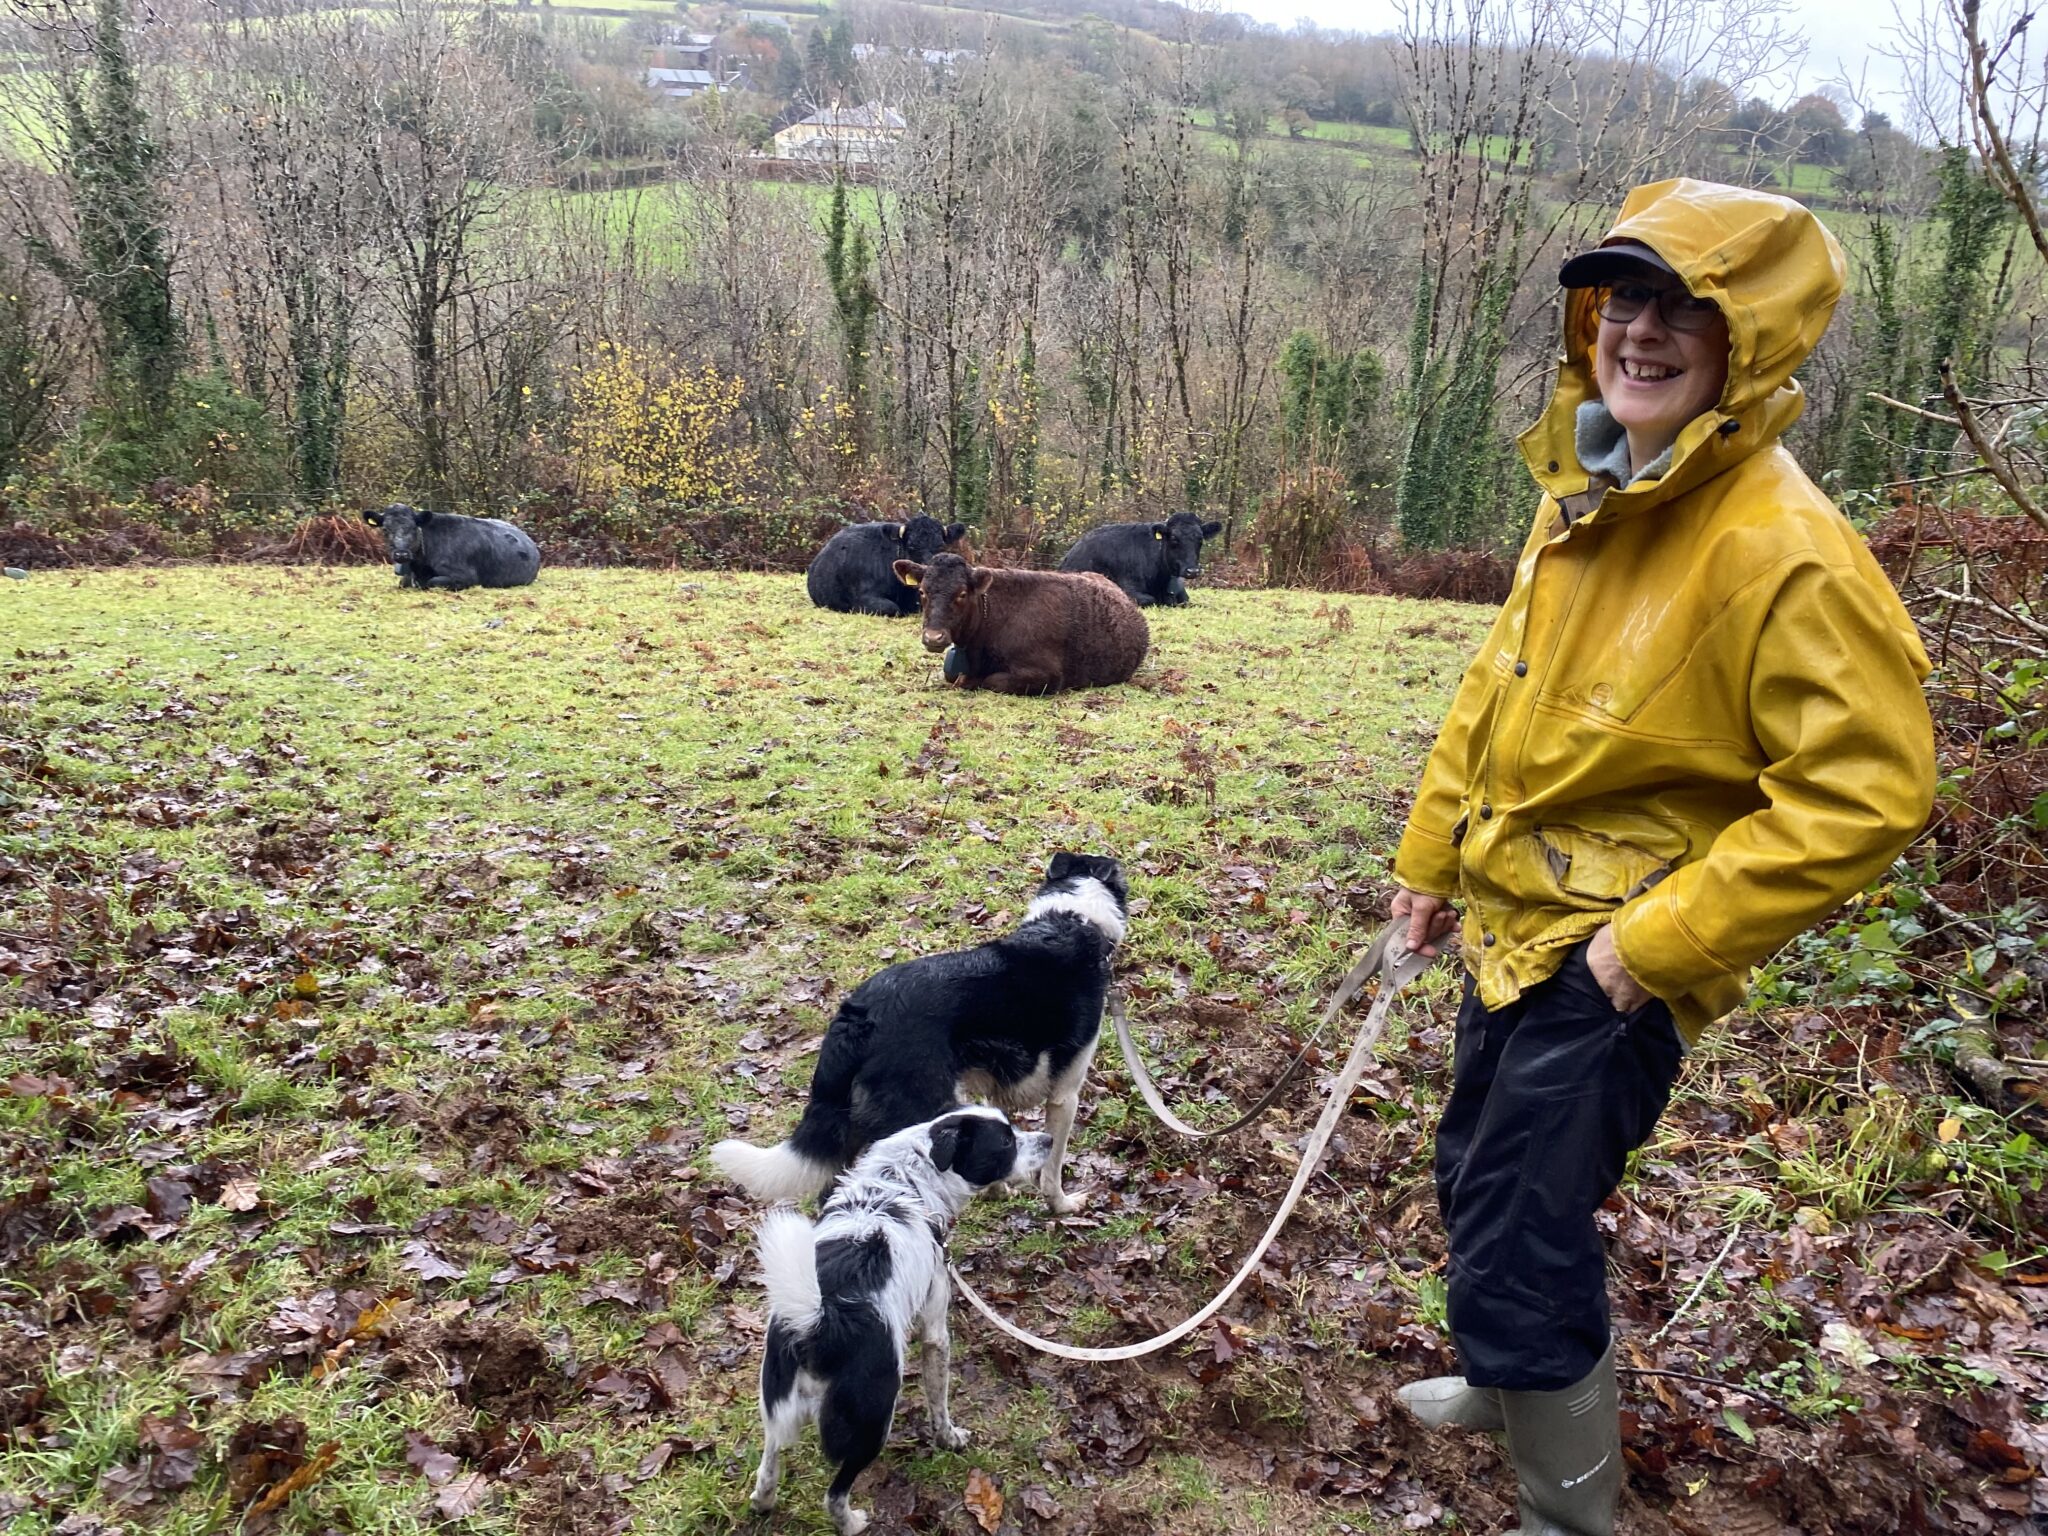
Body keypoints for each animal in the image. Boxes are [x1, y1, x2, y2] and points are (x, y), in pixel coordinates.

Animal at [362, 504, 541, 591]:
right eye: (385, 529)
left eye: (414, 527)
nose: (401, 554)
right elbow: (403, 582)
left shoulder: (466, 577)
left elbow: (433, 582)